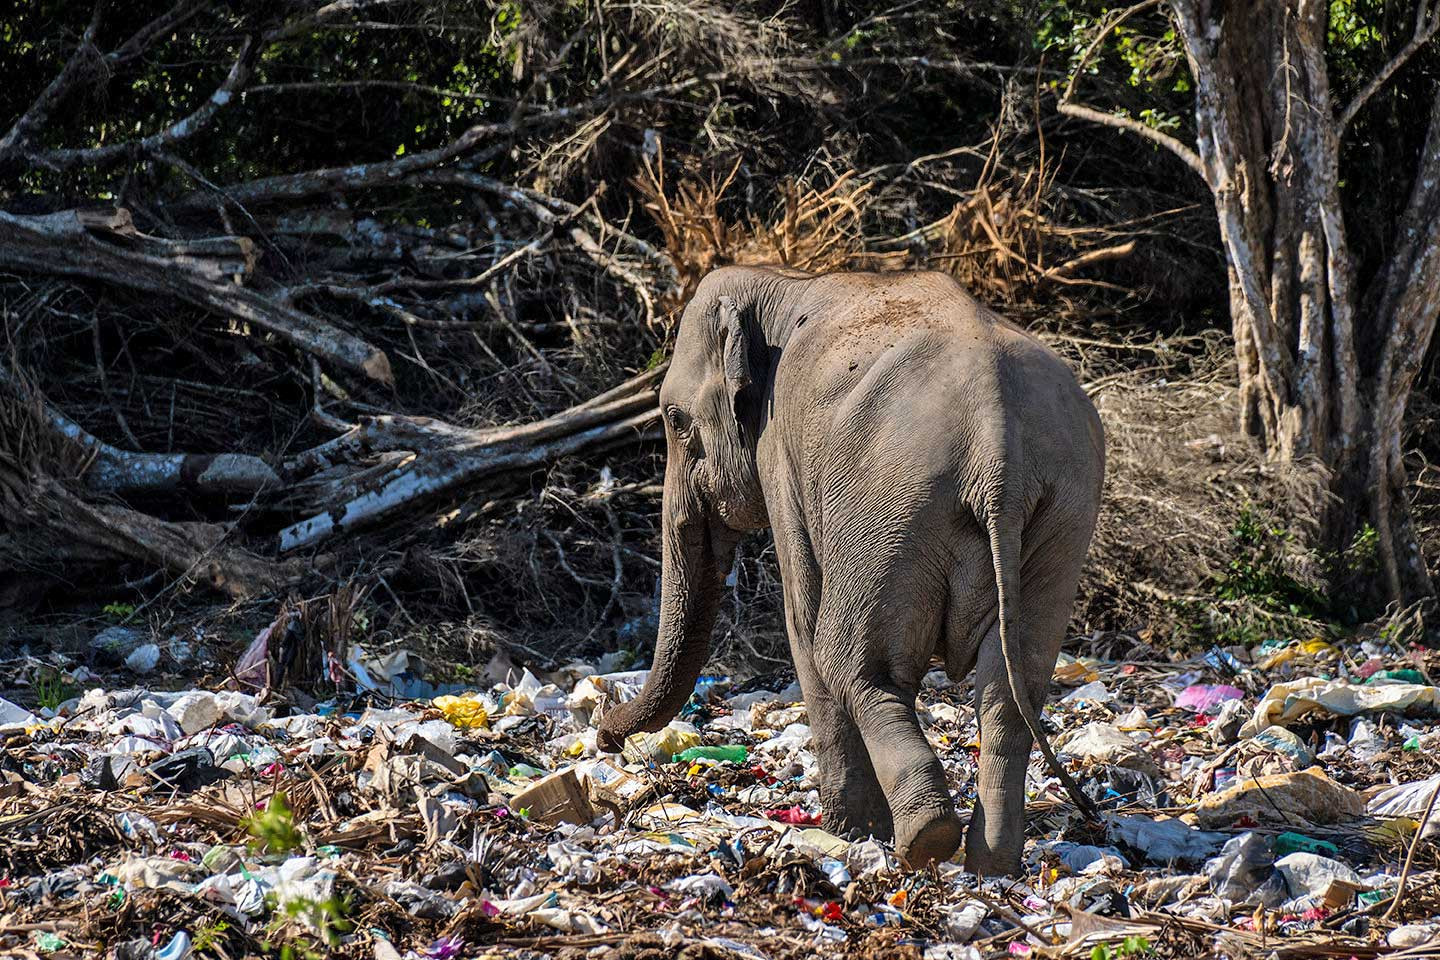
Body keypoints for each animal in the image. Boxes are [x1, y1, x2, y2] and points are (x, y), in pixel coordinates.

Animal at [595, 265, 1104, 875]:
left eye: (675, 420)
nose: (604, 737)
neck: (781, 284)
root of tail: (997, 447)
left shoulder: (780, 453)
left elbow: (801, 615)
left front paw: (847, 831)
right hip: (1058, 516)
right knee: (1010, 684)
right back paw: (991, 863)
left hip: (891, 507)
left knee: (849, 660)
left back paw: (921, 840)